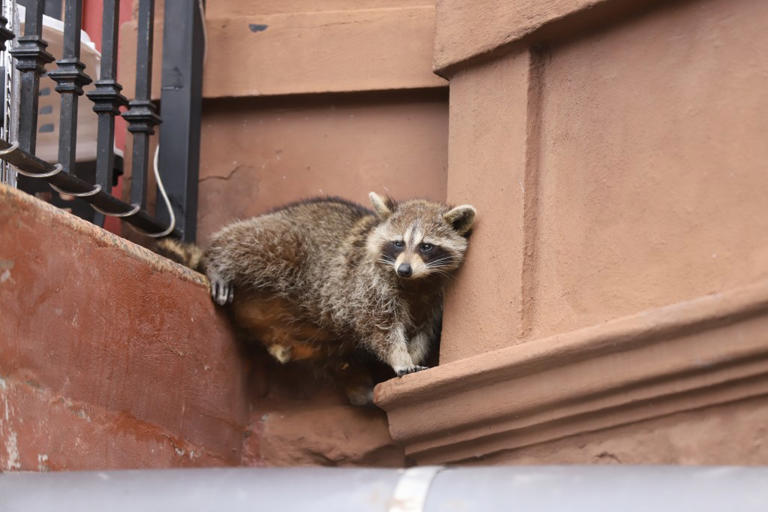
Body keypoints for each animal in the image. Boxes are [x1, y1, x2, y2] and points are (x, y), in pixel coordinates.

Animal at [159, 193, 475, 404]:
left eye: (426, 246)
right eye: (398, 243)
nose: (404, 269)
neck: (417, 282)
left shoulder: (434, 298)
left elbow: (423, 332)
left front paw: (415, 358)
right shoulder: (368, 283)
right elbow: (379, 327)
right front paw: (400, 358)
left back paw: (357, 387)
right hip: (289, 242)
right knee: (257, 244)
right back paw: (219, 258)